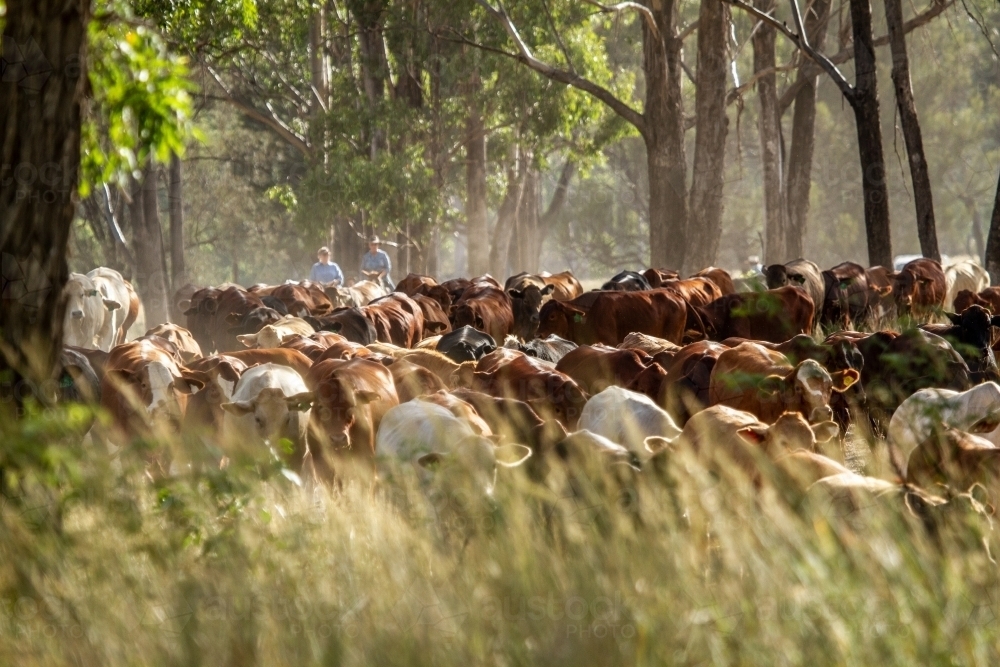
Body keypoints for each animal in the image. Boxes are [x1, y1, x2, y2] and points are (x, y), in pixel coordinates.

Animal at [537, 289, 689, 346]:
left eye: (552, 316)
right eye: (540, 315)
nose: (538, 334)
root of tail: (673, 293)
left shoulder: (611, 342)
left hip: (673, 336)